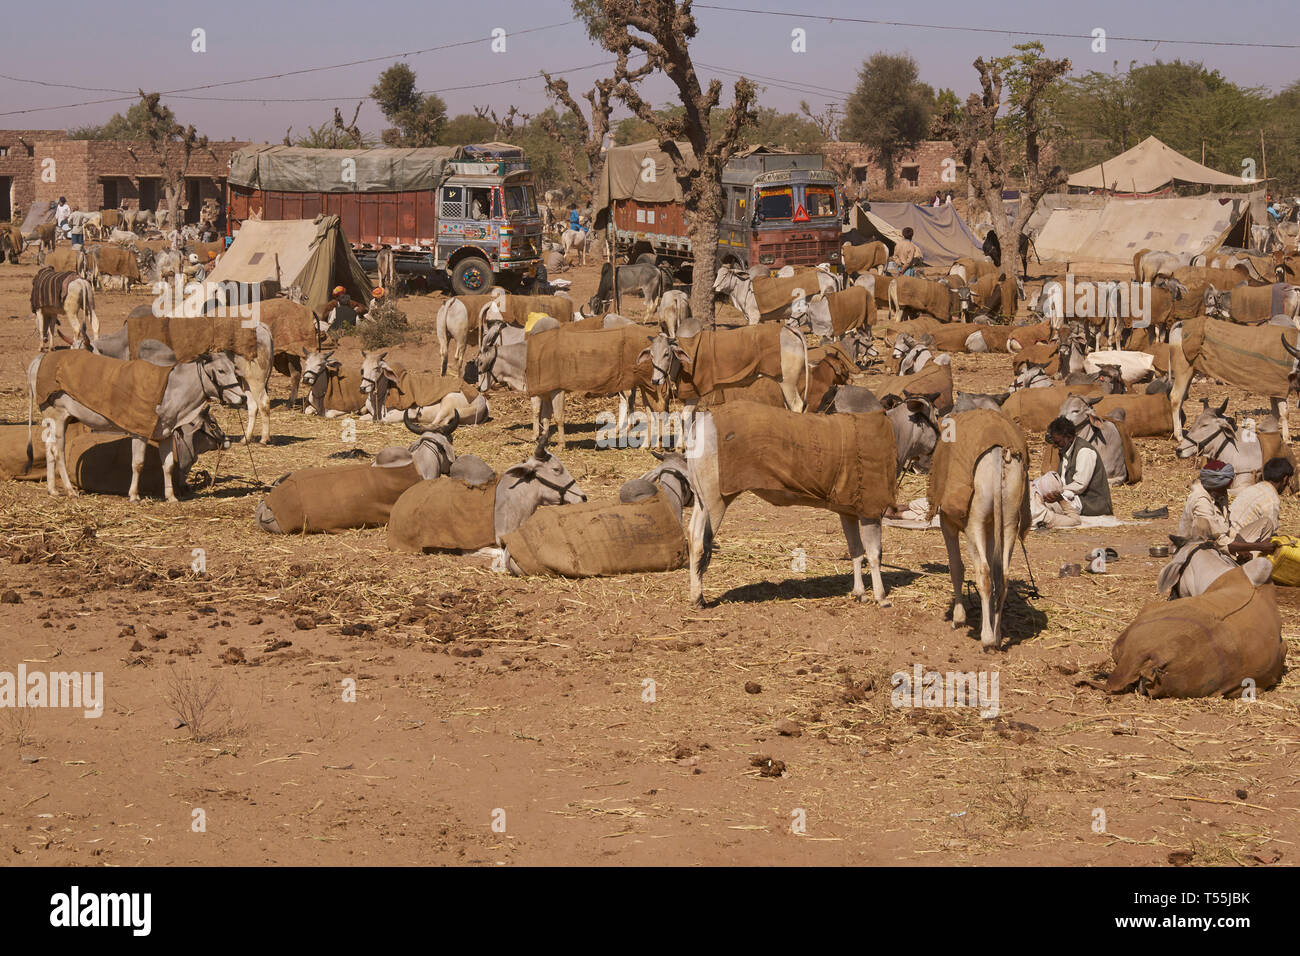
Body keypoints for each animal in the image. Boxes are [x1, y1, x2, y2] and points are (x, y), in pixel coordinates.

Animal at [28, 351, 247, 502]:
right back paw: (70, 491)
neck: (171, 389)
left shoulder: (166, 433)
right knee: (58, 452)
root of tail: (42, 358)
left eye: (234, 369)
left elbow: (168, 465)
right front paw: (134, 495)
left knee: (49, 450)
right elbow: (138, 463)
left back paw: (52, 489)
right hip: (57, 418)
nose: (243, 398)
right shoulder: (139, 432)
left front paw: (171, 497)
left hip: (55, 422)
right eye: (221, 370)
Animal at [682, 396, 941, 607]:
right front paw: (881, 597)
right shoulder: (870, 508)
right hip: (716, 498)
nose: (938, 445)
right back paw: (698, 597)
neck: (894, 436)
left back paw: (696, 595)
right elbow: (874, 553)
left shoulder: (848, 509)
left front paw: (860, 593)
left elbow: (856, 551)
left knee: (692, 534)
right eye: (935, 415)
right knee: (700, 541)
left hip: (701, 498)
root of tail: (703, 421)